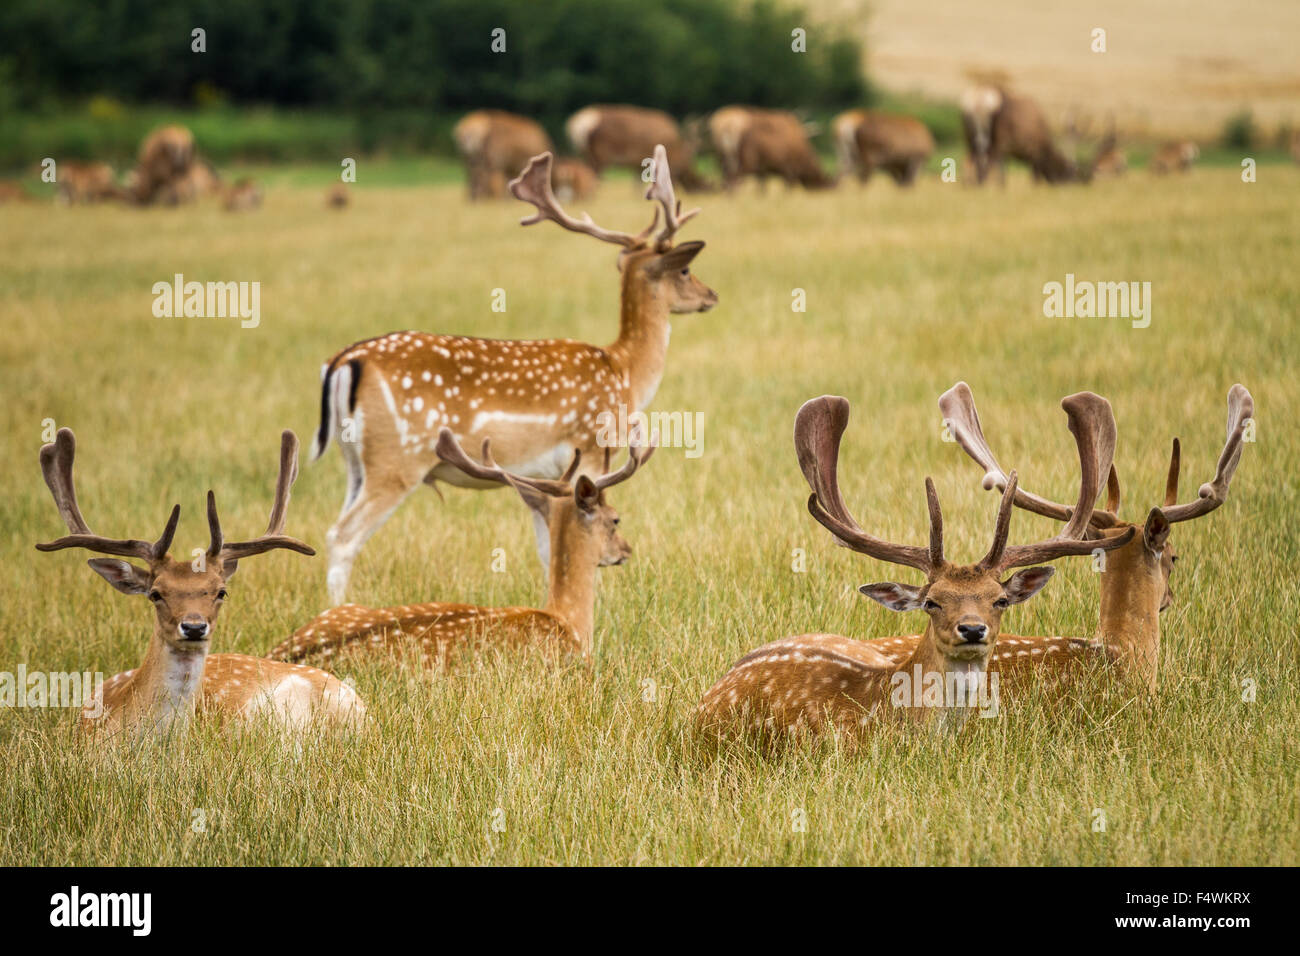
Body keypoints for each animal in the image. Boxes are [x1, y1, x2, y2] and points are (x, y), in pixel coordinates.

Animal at [312, 144, 716, 603]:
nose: (711, 295)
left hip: (355, 463)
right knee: (342, 536)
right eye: (685, 269)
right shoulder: (592, 450)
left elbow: (547, 547)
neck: (624, 370)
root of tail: (344, 362)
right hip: (396, 460)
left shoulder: (545, 478)